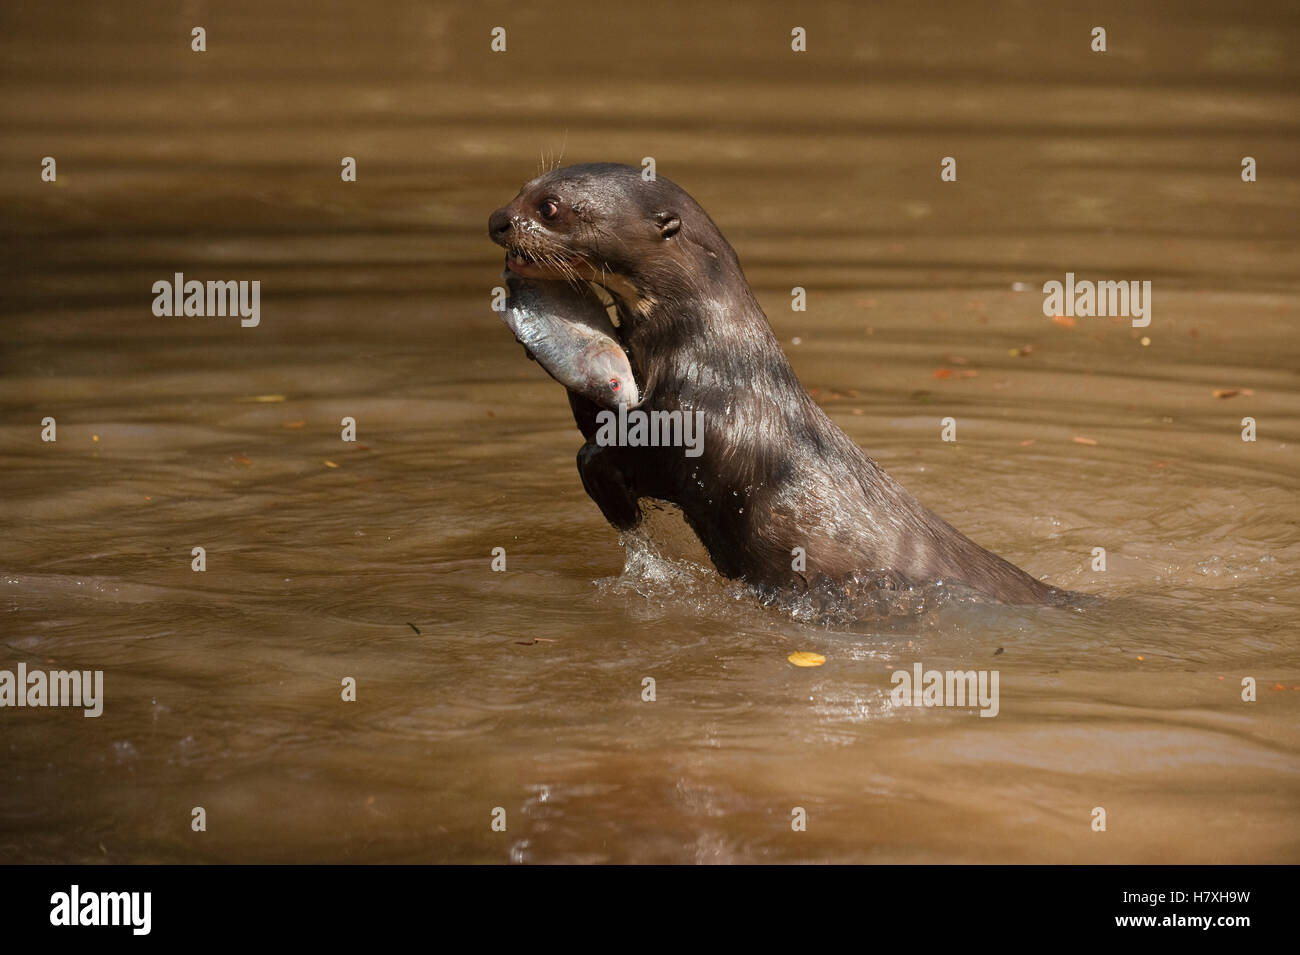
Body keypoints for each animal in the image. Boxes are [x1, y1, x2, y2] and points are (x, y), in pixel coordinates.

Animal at [488, 163, 1075, 607]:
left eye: (550, 207)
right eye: (521, 188)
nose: (498, 220)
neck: (714, 358)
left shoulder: (699, 421)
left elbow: (616, 454)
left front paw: (614, 496)